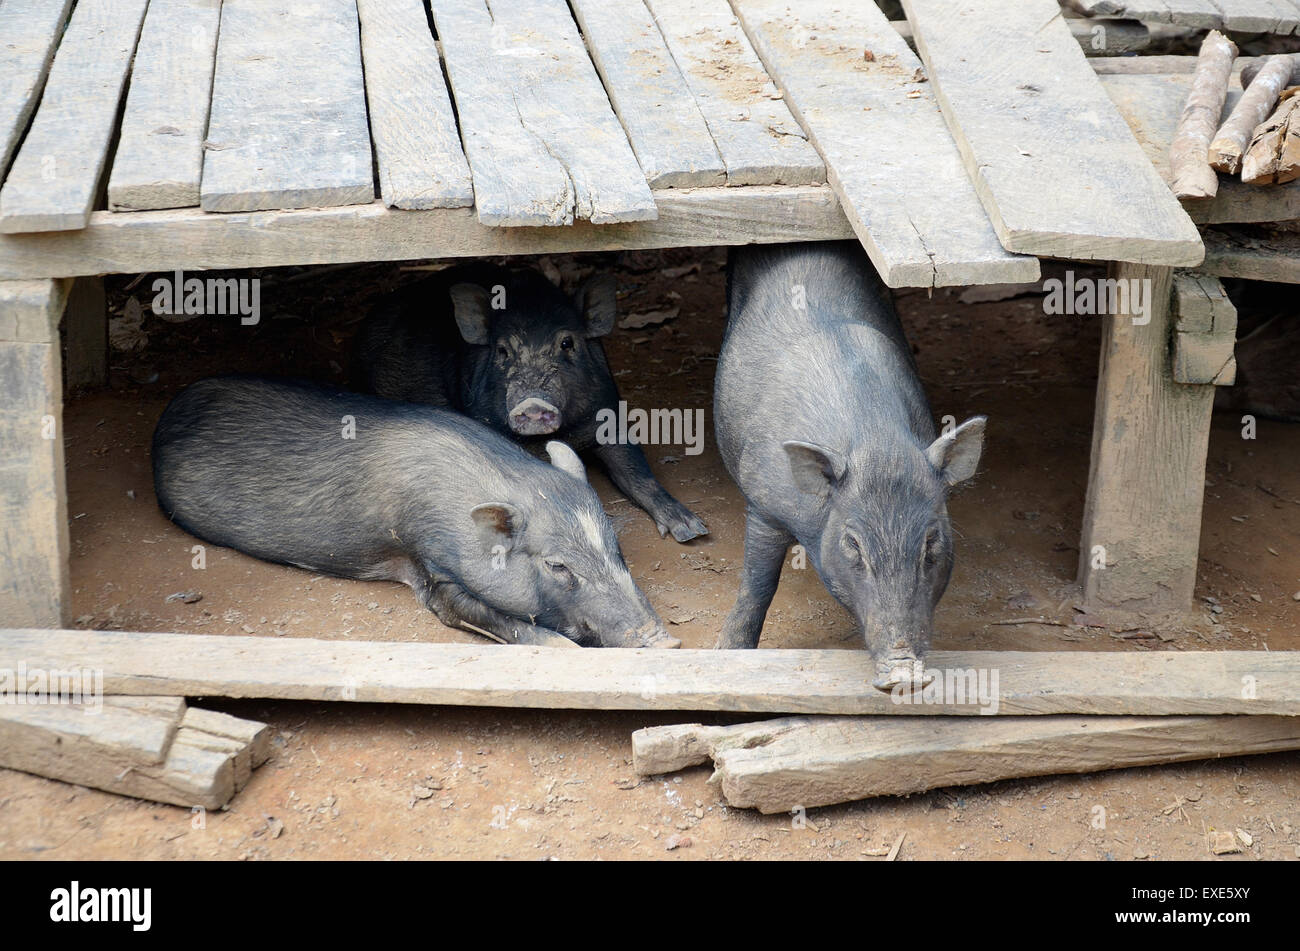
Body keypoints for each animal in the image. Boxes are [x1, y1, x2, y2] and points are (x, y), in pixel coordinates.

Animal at [353, 265, 708, 543]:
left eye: (567, 343)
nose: (532, 404)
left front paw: (693, 530)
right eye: (502, 351)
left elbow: (636, 470)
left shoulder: (609, 416)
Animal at [713, 242, 985, 689]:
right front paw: (728, 653)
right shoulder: (763, 500)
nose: (904, 670)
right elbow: (758, 583)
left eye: (932, 540)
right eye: (852, 543)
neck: (876, 442)